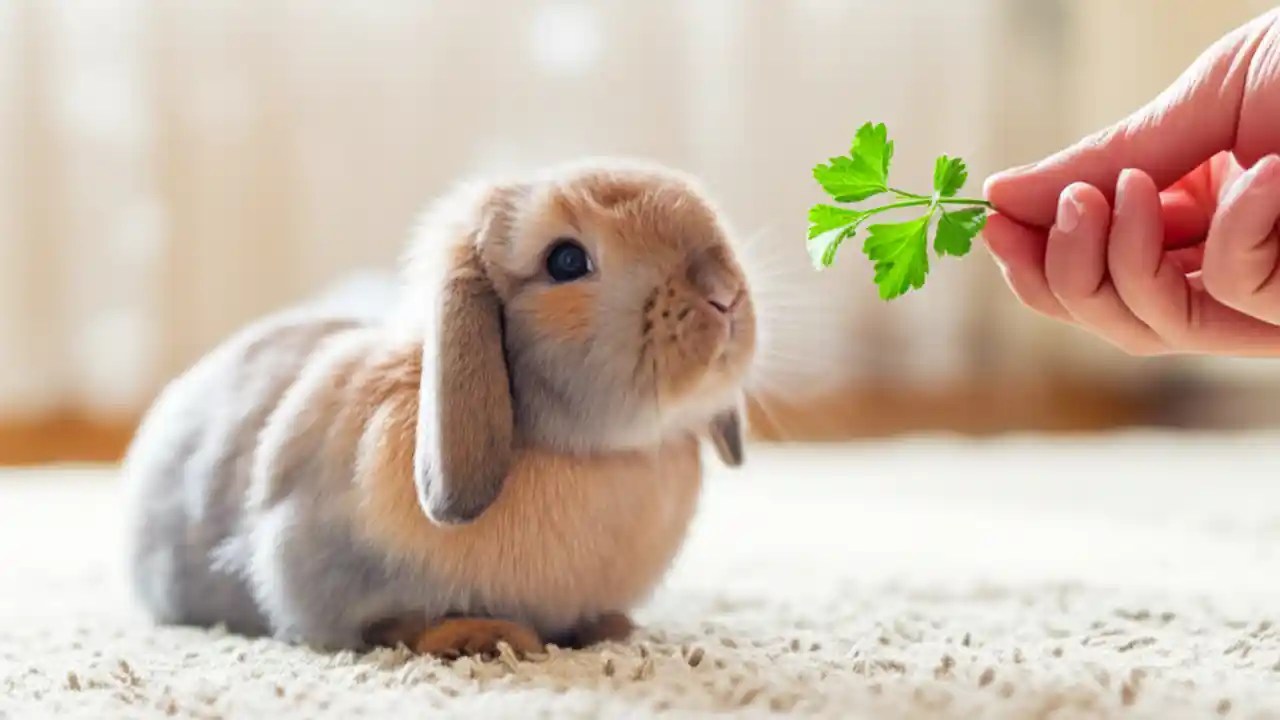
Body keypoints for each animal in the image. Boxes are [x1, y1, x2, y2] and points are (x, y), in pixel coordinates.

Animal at [123, 158, 757, 657]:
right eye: (567, 262)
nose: (724, 293)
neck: (599, 454)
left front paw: (610, 627)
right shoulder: (311, 570)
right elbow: (386, 624)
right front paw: (482, 636)